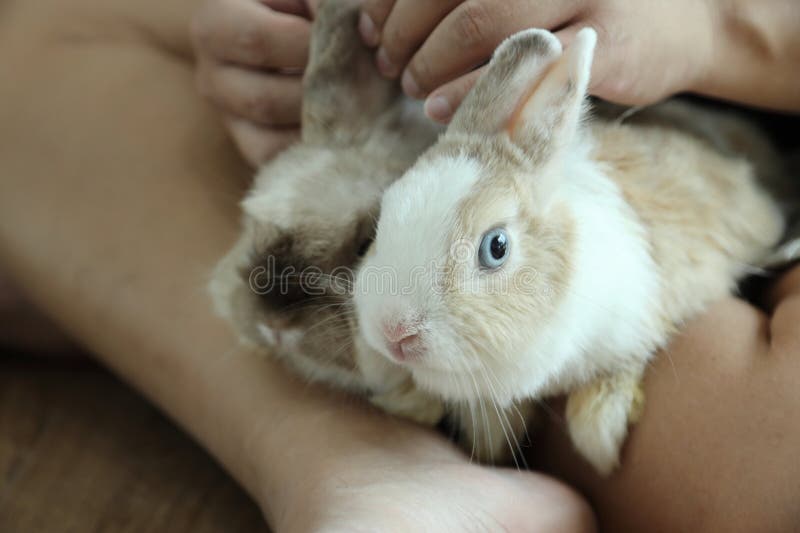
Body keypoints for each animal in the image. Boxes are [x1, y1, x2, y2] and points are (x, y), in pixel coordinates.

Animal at [354, 27, 790, 475]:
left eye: (496, 247)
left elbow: (616, 376)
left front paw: (602, 436)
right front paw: (410, 401)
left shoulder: (634, 320)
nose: (394, 334)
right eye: (382, 218)